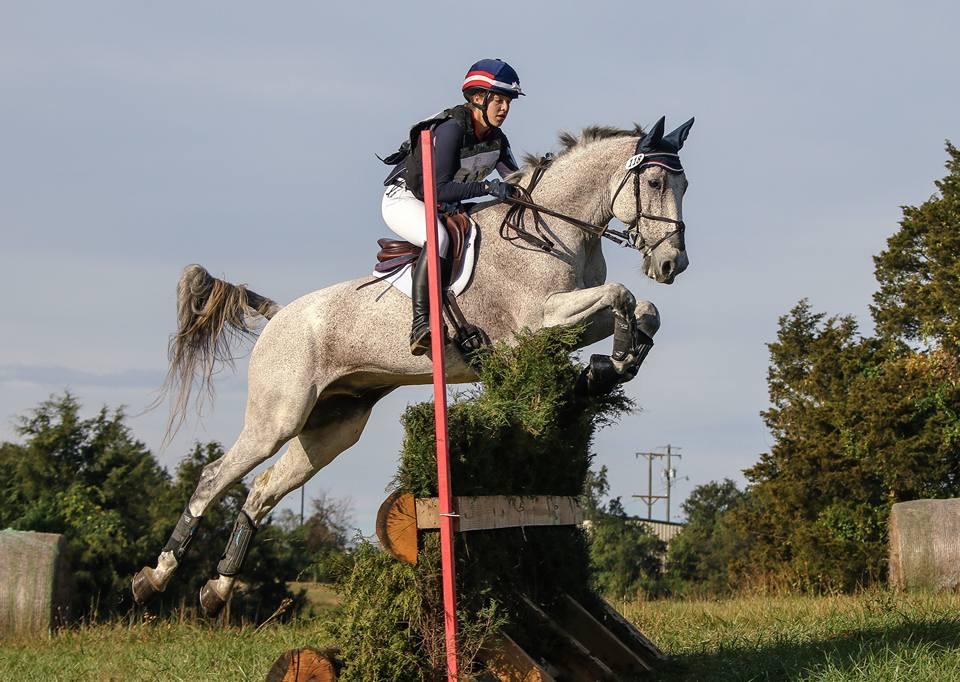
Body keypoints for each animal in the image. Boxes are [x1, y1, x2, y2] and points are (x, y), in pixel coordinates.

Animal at [132, 115, 695, 614]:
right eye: (655, 180)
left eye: (684, 184)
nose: (672, 265)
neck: (553, 230)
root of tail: (279, 314)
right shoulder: (537, 320)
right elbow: (623, 295)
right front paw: (613, 360)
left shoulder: (572, 318)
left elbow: (646, 308)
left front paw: (612, 364)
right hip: (279, 416)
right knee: (215, 478)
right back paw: (153, 579)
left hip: (332, 427)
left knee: (262, 492)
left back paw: (217, 589)